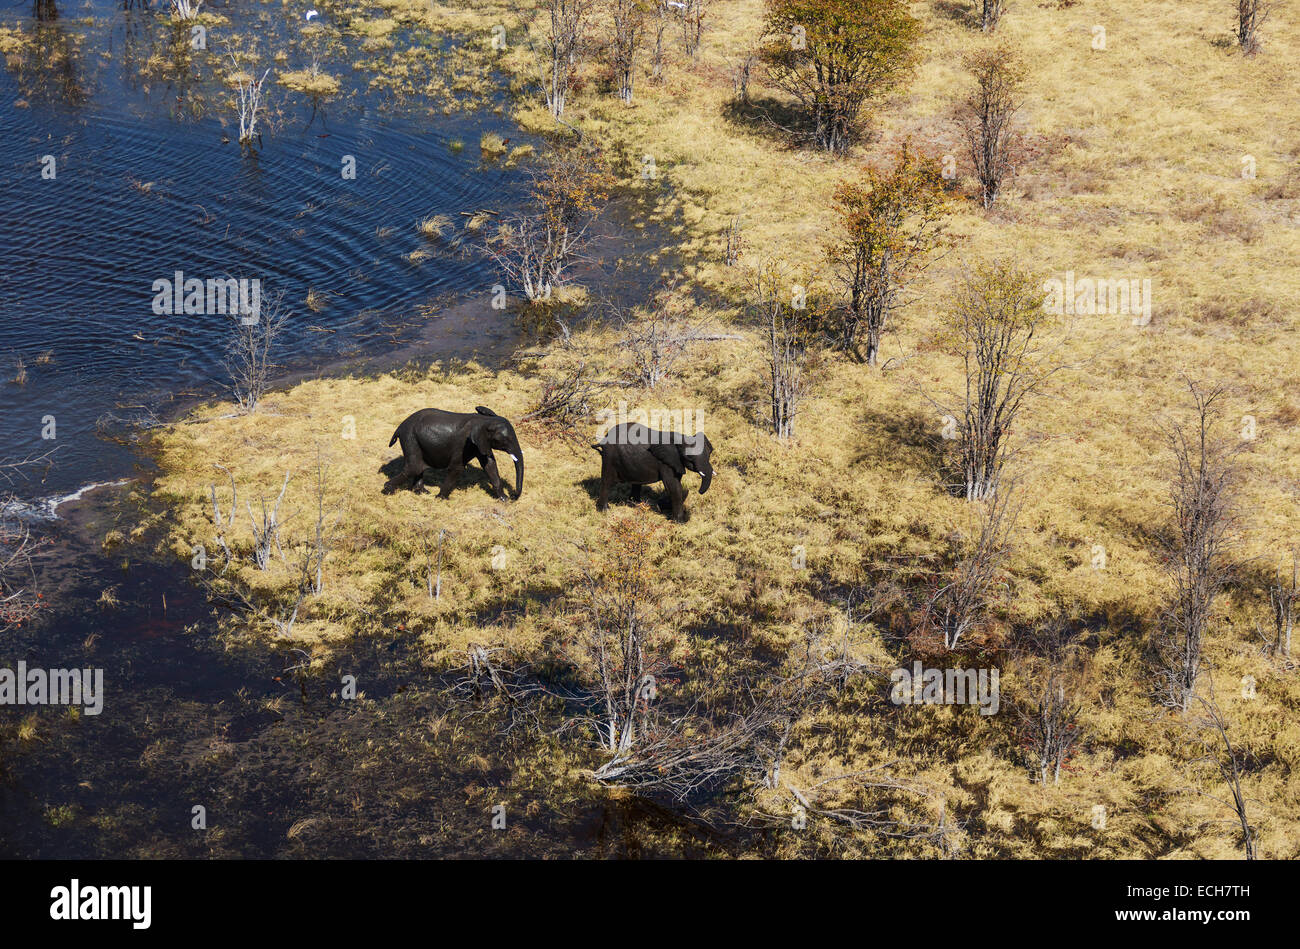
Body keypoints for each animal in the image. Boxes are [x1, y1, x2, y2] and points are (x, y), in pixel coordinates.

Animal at [384, 406, 523, 500]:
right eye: (505, 440)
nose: (513, 496)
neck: (484, 420)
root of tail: (399, 427)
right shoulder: (463, 445)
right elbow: (457, 468)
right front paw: (440, 499)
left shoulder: (479, 444)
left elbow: (490, 465)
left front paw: (504, 500)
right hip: (410, 438)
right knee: (414, 468)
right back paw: (388, 490)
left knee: (418, 468)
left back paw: (422, 492)